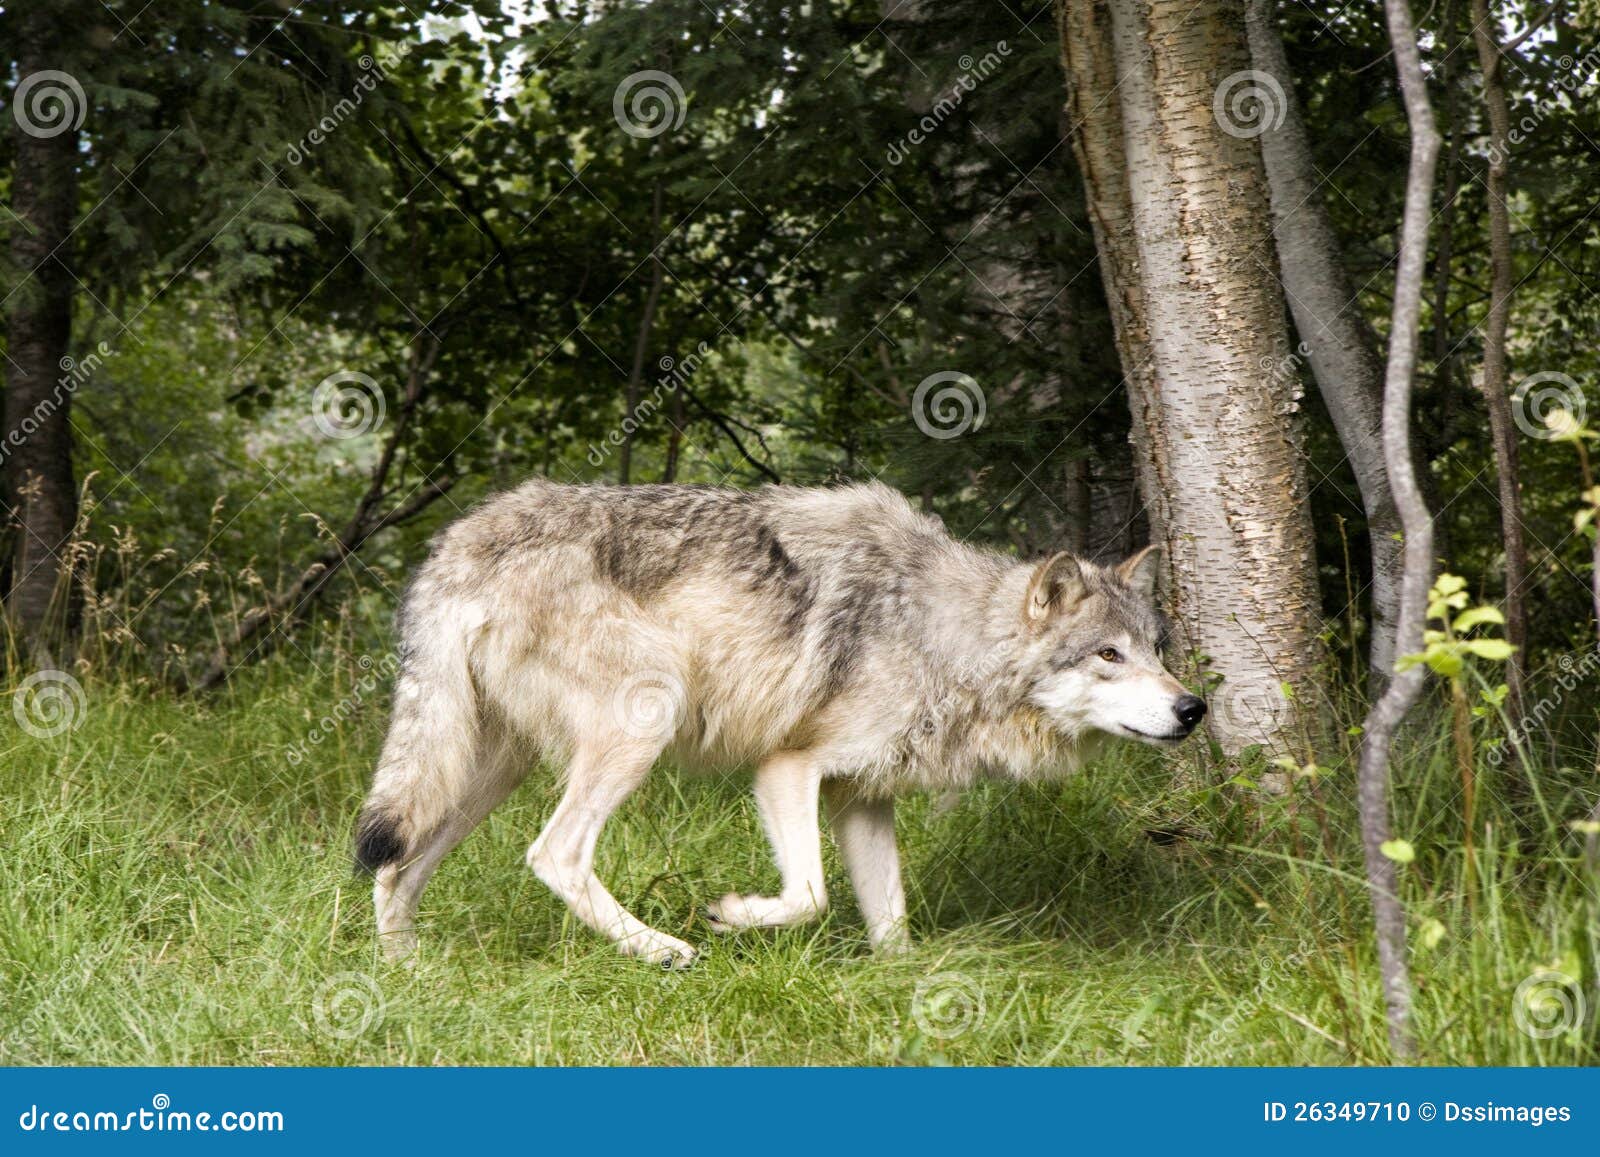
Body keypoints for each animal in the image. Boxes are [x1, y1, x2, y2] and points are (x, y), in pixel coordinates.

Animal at [356, 480, 1205, 966]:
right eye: (1107, 654)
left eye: (1158, 649)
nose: (1192, 708)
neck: (943, 635)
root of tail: (457, 544)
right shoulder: (787, 768)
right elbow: (811, 896)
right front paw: (733, 916)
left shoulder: (864, 798)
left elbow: (892, 926)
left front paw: (910, 992)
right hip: (642, 721)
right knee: (552, 853)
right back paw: (664, 949)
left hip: (491, 769)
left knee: (398, 863)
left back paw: (407, 977)